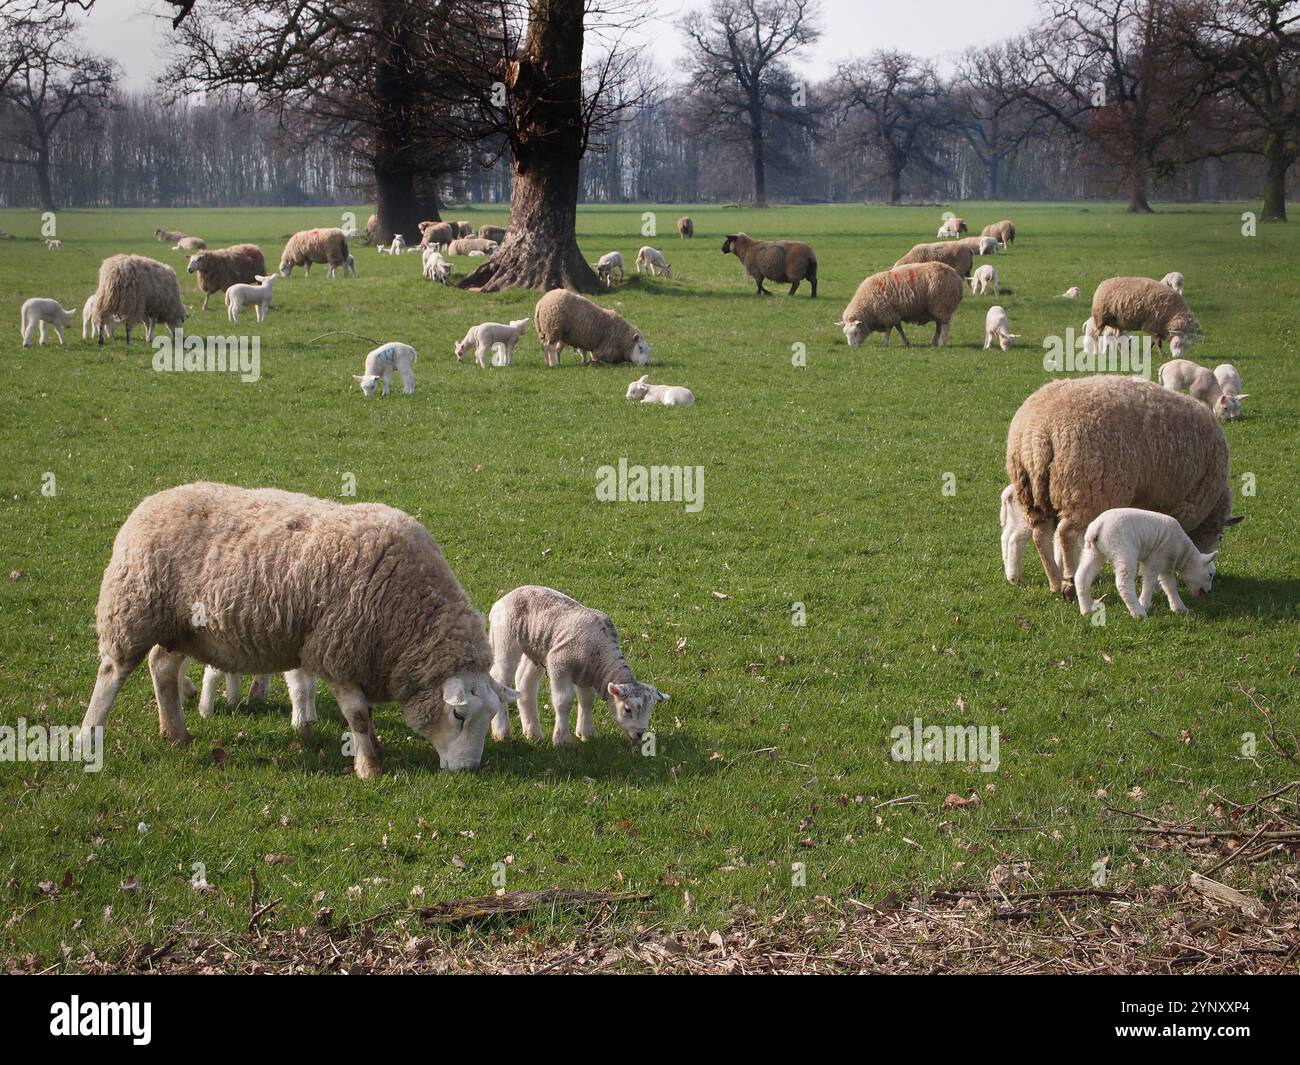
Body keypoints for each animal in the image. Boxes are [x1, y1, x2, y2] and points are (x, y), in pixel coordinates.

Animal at [77, 482, 517, 776]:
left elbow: (366, 714)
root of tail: (152, 501)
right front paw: (369, 767)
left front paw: (373, 749)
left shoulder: (360, 654)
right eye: (459, 716)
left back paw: (175, 733)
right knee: (112, 673)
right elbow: (358, 714)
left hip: (181, 628)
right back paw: (87, 737)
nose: (467, 770)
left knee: (161, 668)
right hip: (134, 609)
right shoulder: (336, 651)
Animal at [488, 585, 667, 747]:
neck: (602, 653)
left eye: (650, 710)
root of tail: (501, 601)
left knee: (525, 683)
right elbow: (563, 702)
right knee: (500, 680)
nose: (640, 734)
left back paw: (533, 734)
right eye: (627, 709)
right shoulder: (559, 663)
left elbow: (587, 701)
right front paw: (562, 740)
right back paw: (501, 732)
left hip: (536, 648)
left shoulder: (587, 674)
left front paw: (586, 733)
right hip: (506, 638)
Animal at [1006, 376, 1238, 599]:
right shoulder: (1182, 506)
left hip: (1033, 493)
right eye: (1220, 537)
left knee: (1041, 535)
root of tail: (1038, 433)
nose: (1208, 588)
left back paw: (1055, 581)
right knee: (1066, 535)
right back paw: (1069, 583)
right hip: (1088, 489)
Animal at [1074, 508, 1219, 619]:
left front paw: (1179, 608)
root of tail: (1097, 527)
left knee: (1082, 577)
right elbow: (1150, 581)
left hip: (1093, 551)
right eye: (1210, 574)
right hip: (1122, 549)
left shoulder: (1165, 565)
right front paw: (1144, 603)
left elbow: (1170, 585)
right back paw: (1138, 613)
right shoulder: (1156, 558)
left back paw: (1086, 610)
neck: (1183, 552)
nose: (1209, 591)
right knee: (1123, 583)